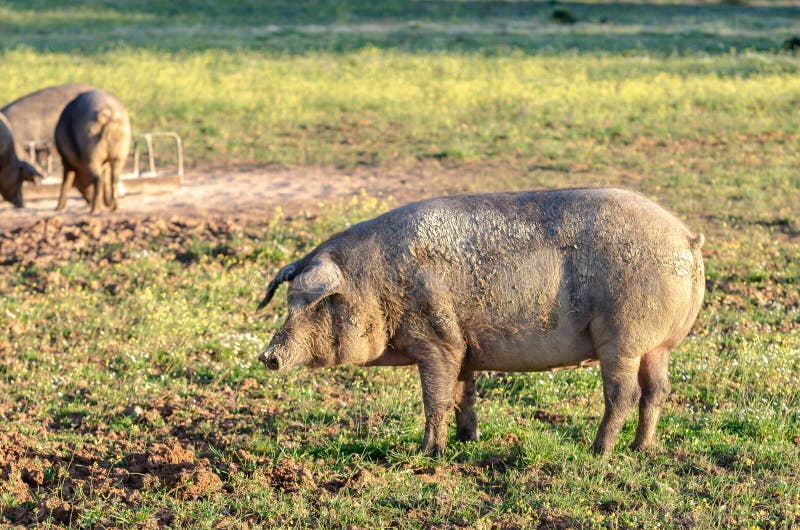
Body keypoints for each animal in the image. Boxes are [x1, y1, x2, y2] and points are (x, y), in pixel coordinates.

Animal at [256, 188, 705, 456]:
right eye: (289, 301)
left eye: (317, 303)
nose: (267, 356)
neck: (376, 284)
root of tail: (686, 236)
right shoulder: (462, 346)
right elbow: (463, 395)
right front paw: (467, 442)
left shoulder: (437, 340)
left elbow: (435, 399)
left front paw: (428, 454)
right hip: (659, 345)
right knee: (659, 390)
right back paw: (642, 450)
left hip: (622, 337)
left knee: (624, 393)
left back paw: (598, 452)